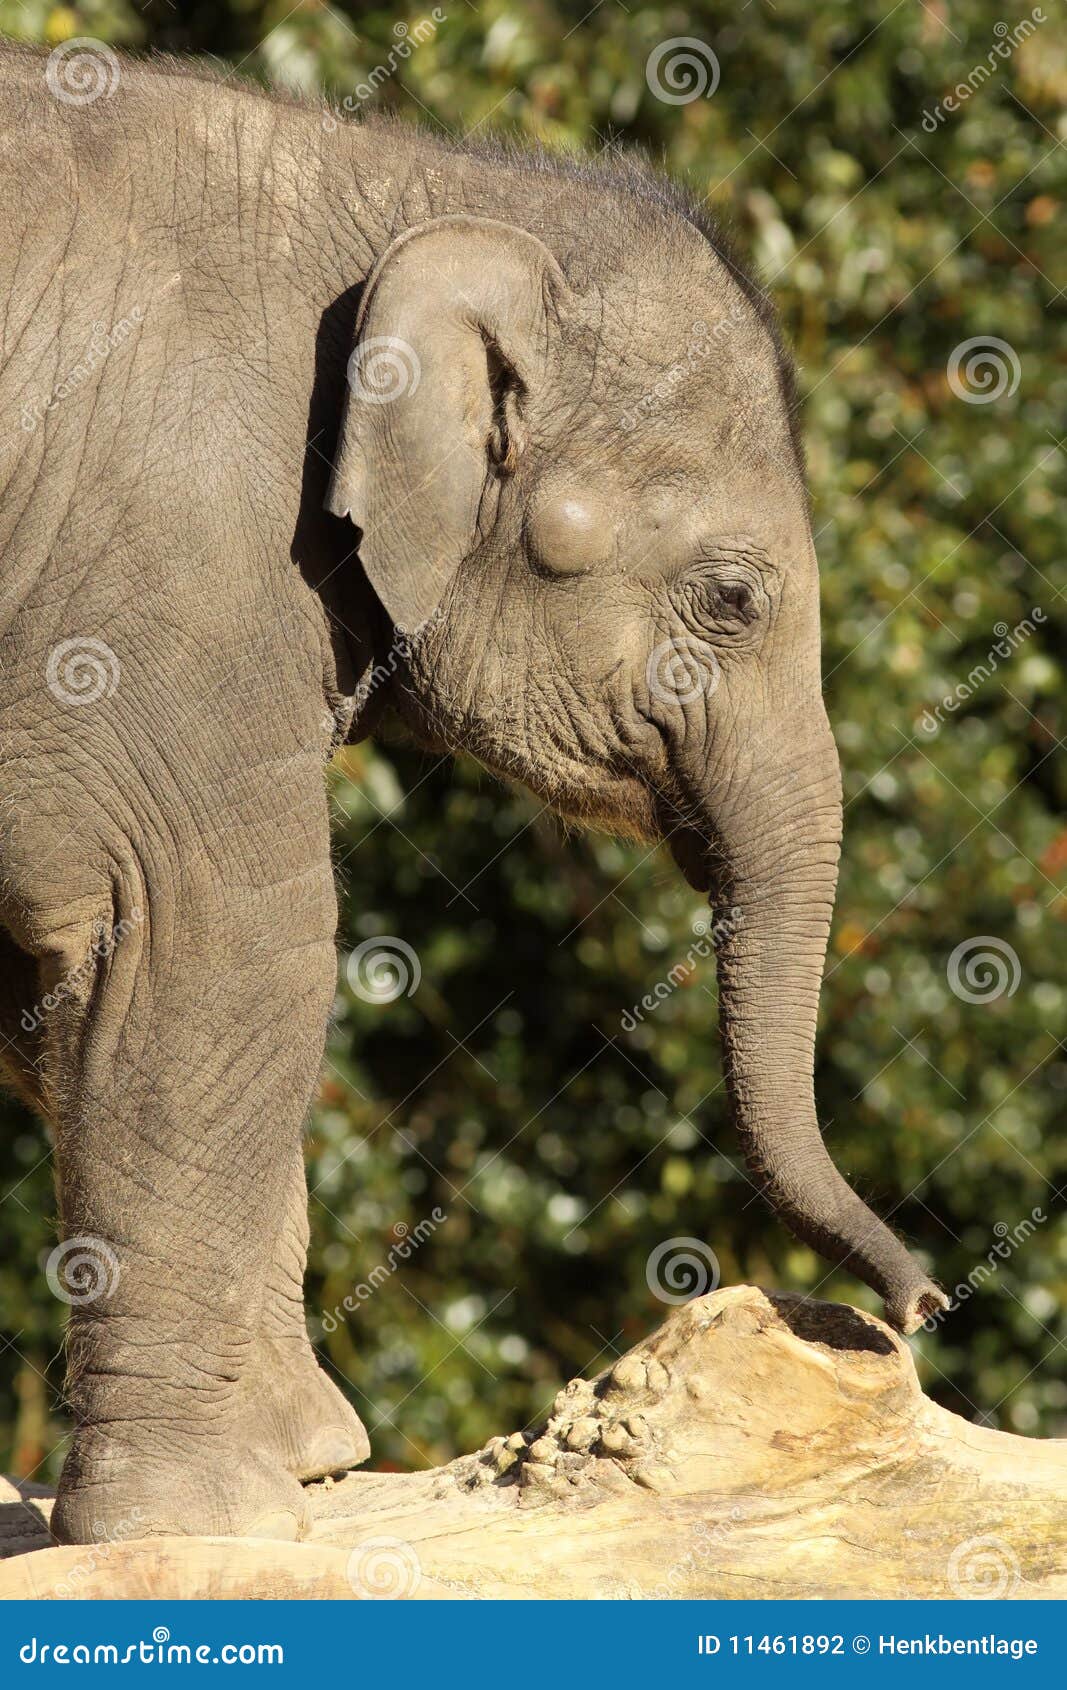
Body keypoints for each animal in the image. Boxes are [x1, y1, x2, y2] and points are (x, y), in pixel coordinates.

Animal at [0, 40, 948, 1545]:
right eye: (732, 600)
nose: (911, 1308)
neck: (400, 173)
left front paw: (311, 1458)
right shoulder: (160, 572)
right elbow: (213, 940)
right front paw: (205, 1518)